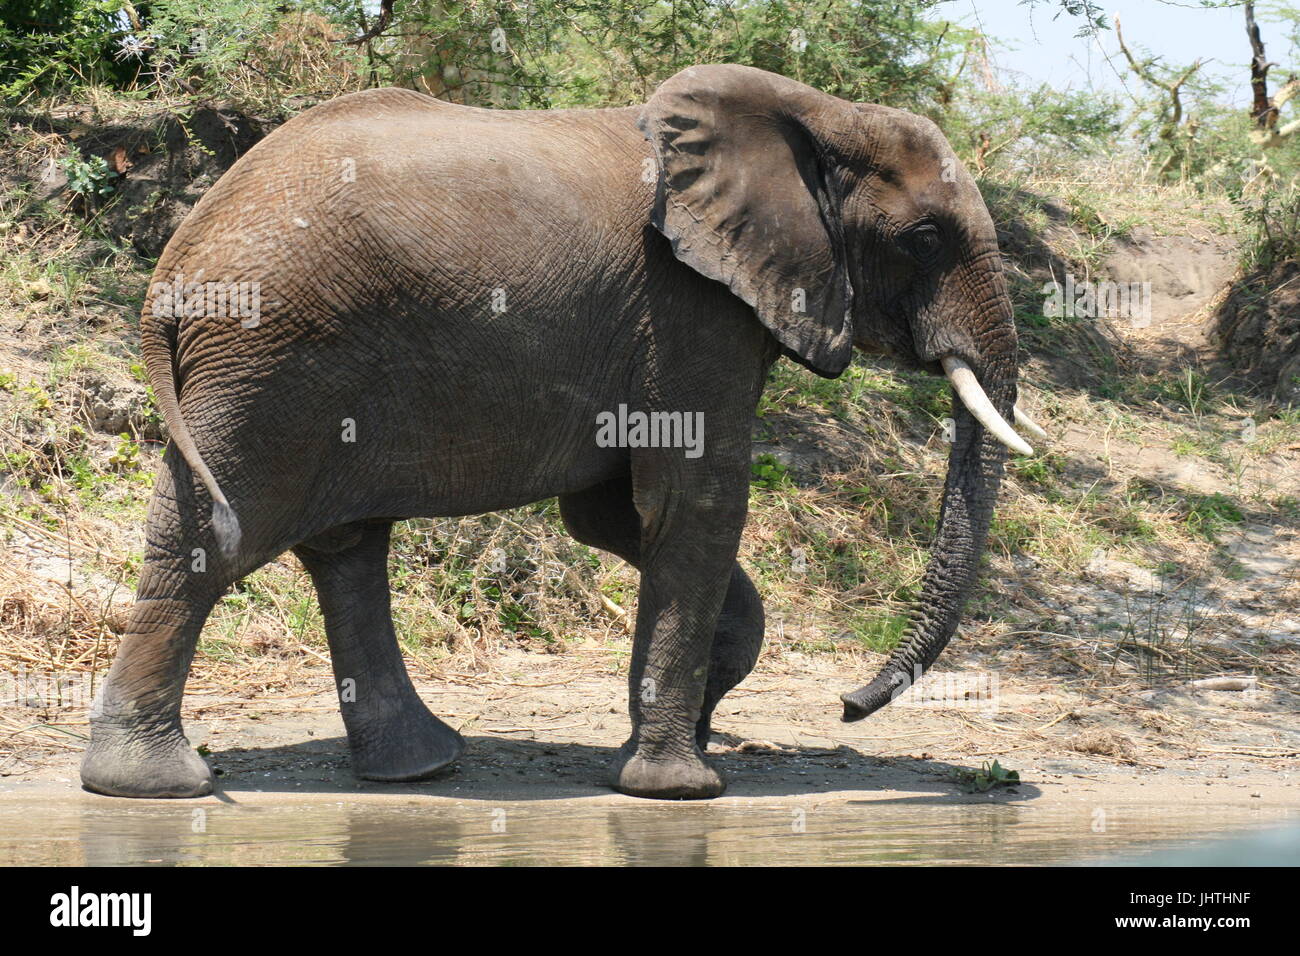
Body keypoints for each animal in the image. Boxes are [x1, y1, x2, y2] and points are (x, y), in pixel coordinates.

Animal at [79, 63, 1041, 801]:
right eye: (925, 237)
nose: (845, 704)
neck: (817, 112)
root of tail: (174, 264)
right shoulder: (686, 307)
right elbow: (696, 503)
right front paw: (680, 787)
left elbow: (616, 514)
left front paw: (684, 723)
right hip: (272, 360)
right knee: (218, 540)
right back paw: (151, 785)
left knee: (344, 548)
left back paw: (420, 769)